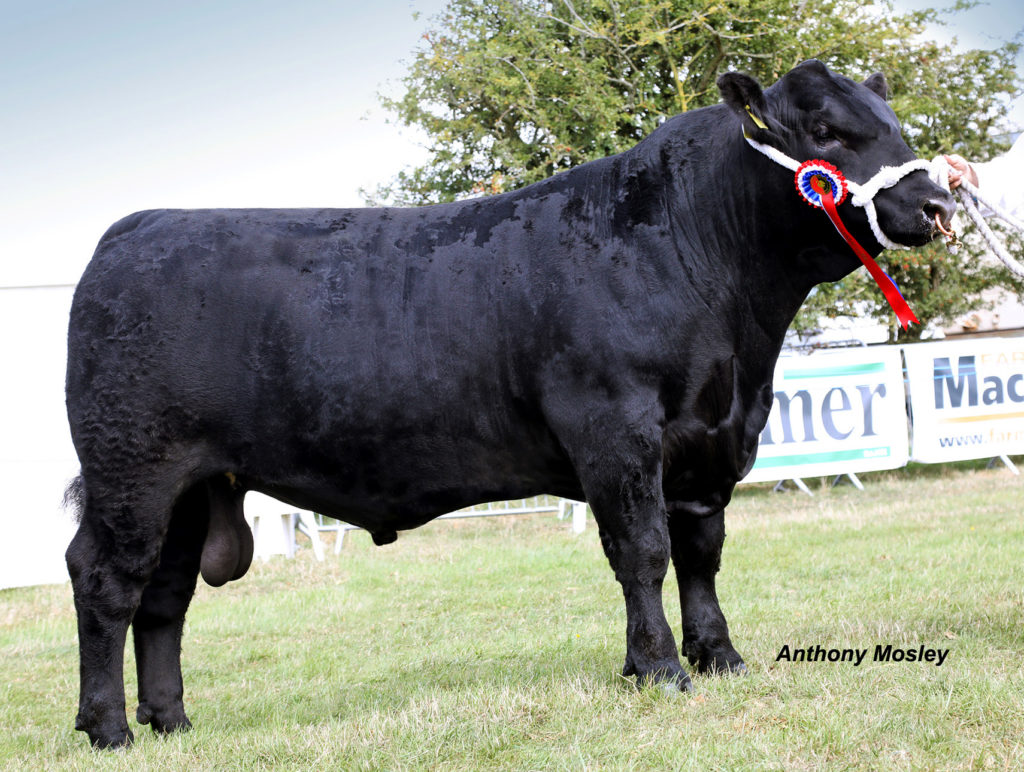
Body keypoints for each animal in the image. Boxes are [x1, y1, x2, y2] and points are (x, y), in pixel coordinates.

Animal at [64, 59, 955, 748]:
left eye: (894, 123)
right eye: (827, 131)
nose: (937, 204)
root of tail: (134, 230)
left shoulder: (711, 441)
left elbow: (701, 554)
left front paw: (718, 657)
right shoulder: (615, 429)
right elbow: (643, 552)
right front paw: (660, 670)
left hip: (191, 487)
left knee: (165, 596)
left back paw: (172, 722)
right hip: (132, 470)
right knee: (106, 582)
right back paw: (109, 728)